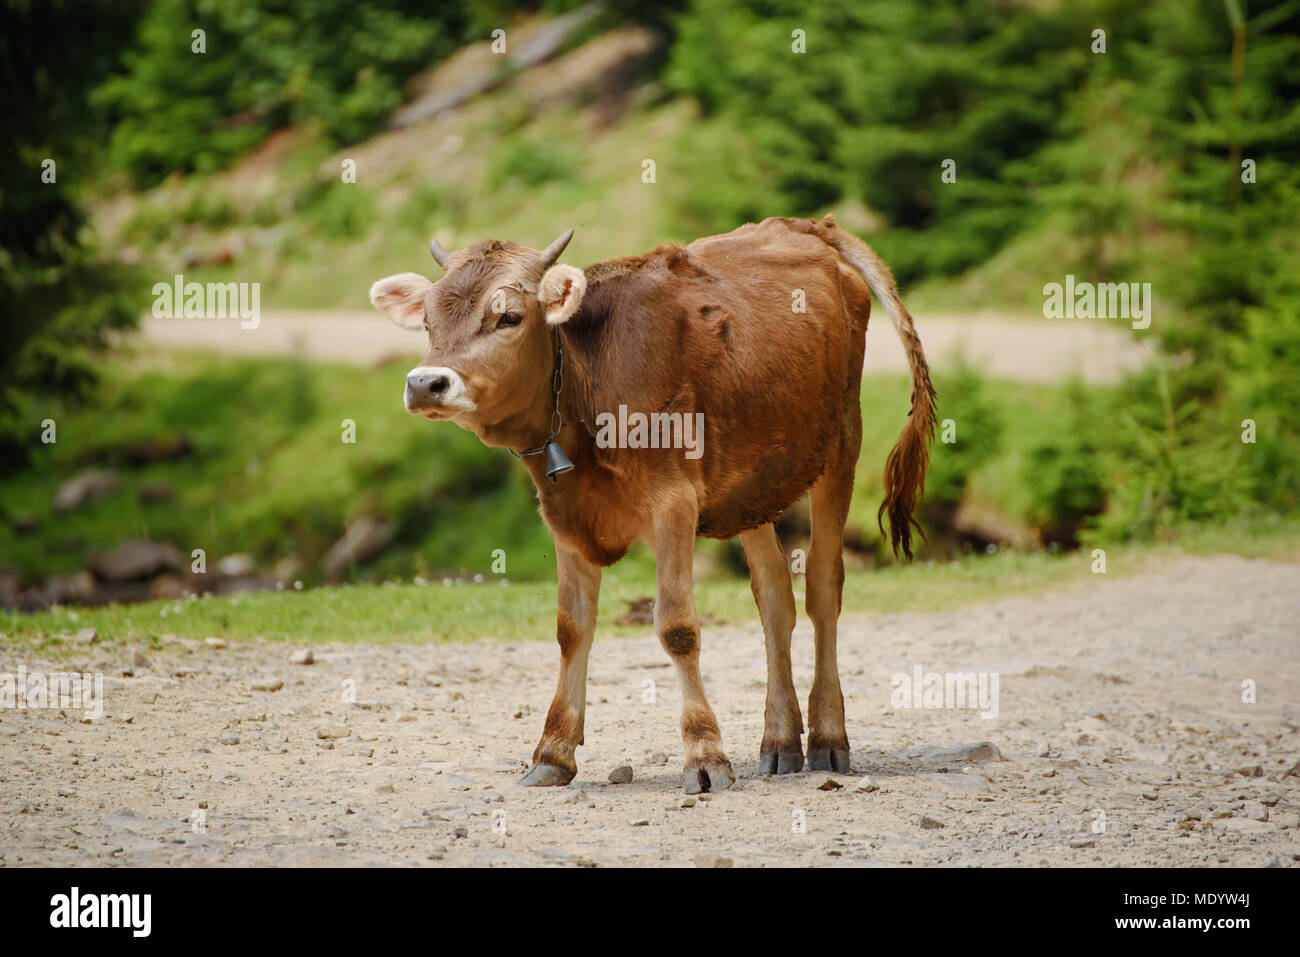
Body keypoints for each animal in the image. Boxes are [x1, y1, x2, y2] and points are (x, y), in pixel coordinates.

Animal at [369, 214, 935, 793]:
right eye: (428, 323)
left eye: (508, 316)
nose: (426, 383)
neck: (589, 388)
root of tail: (803, 226)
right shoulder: (562, 512)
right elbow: (571, 629)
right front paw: (553, 751)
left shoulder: (673, 503)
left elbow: (677, 627)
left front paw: (705, 754)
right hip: (754, 484)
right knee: (775, 597)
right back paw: (779, 740)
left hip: (841, 446)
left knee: (823, 587)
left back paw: (826, 736)